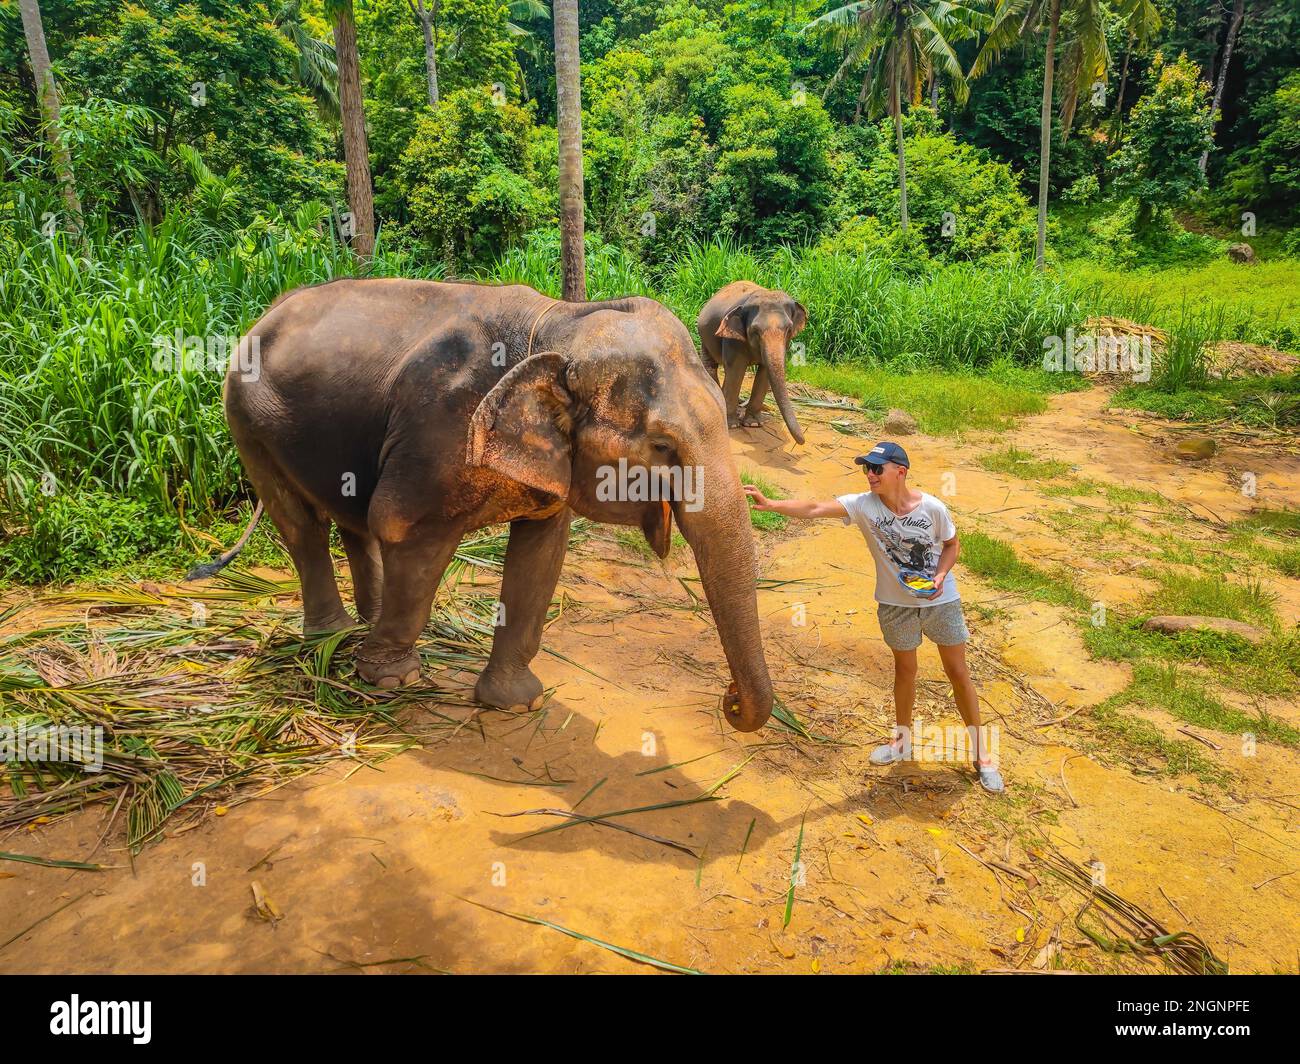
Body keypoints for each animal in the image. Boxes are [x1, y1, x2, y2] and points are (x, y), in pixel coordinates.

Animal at [205, 278, 774, 732]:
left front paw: (515, 704)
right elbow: (402, 525)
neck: (559, 323)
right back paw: (335, 635)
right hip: (247, 418)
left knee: (351, 519)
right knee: (301, 524)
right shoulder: (435, 432)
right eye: (661, 446)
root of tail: (266, 312)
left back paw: (366, 622)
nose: (728, 700)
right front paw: (390, 680)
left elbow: (542, 554)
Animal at [697, 281, 807, 444]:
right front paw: (732, 425)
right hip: (704, 336)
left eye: (788, 329)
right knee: (711, 366)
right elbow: (736, 370)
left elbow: (764, 373)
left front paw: (753, 424)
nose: (802, 441)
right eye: (755, 330)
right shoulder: (733, 339)